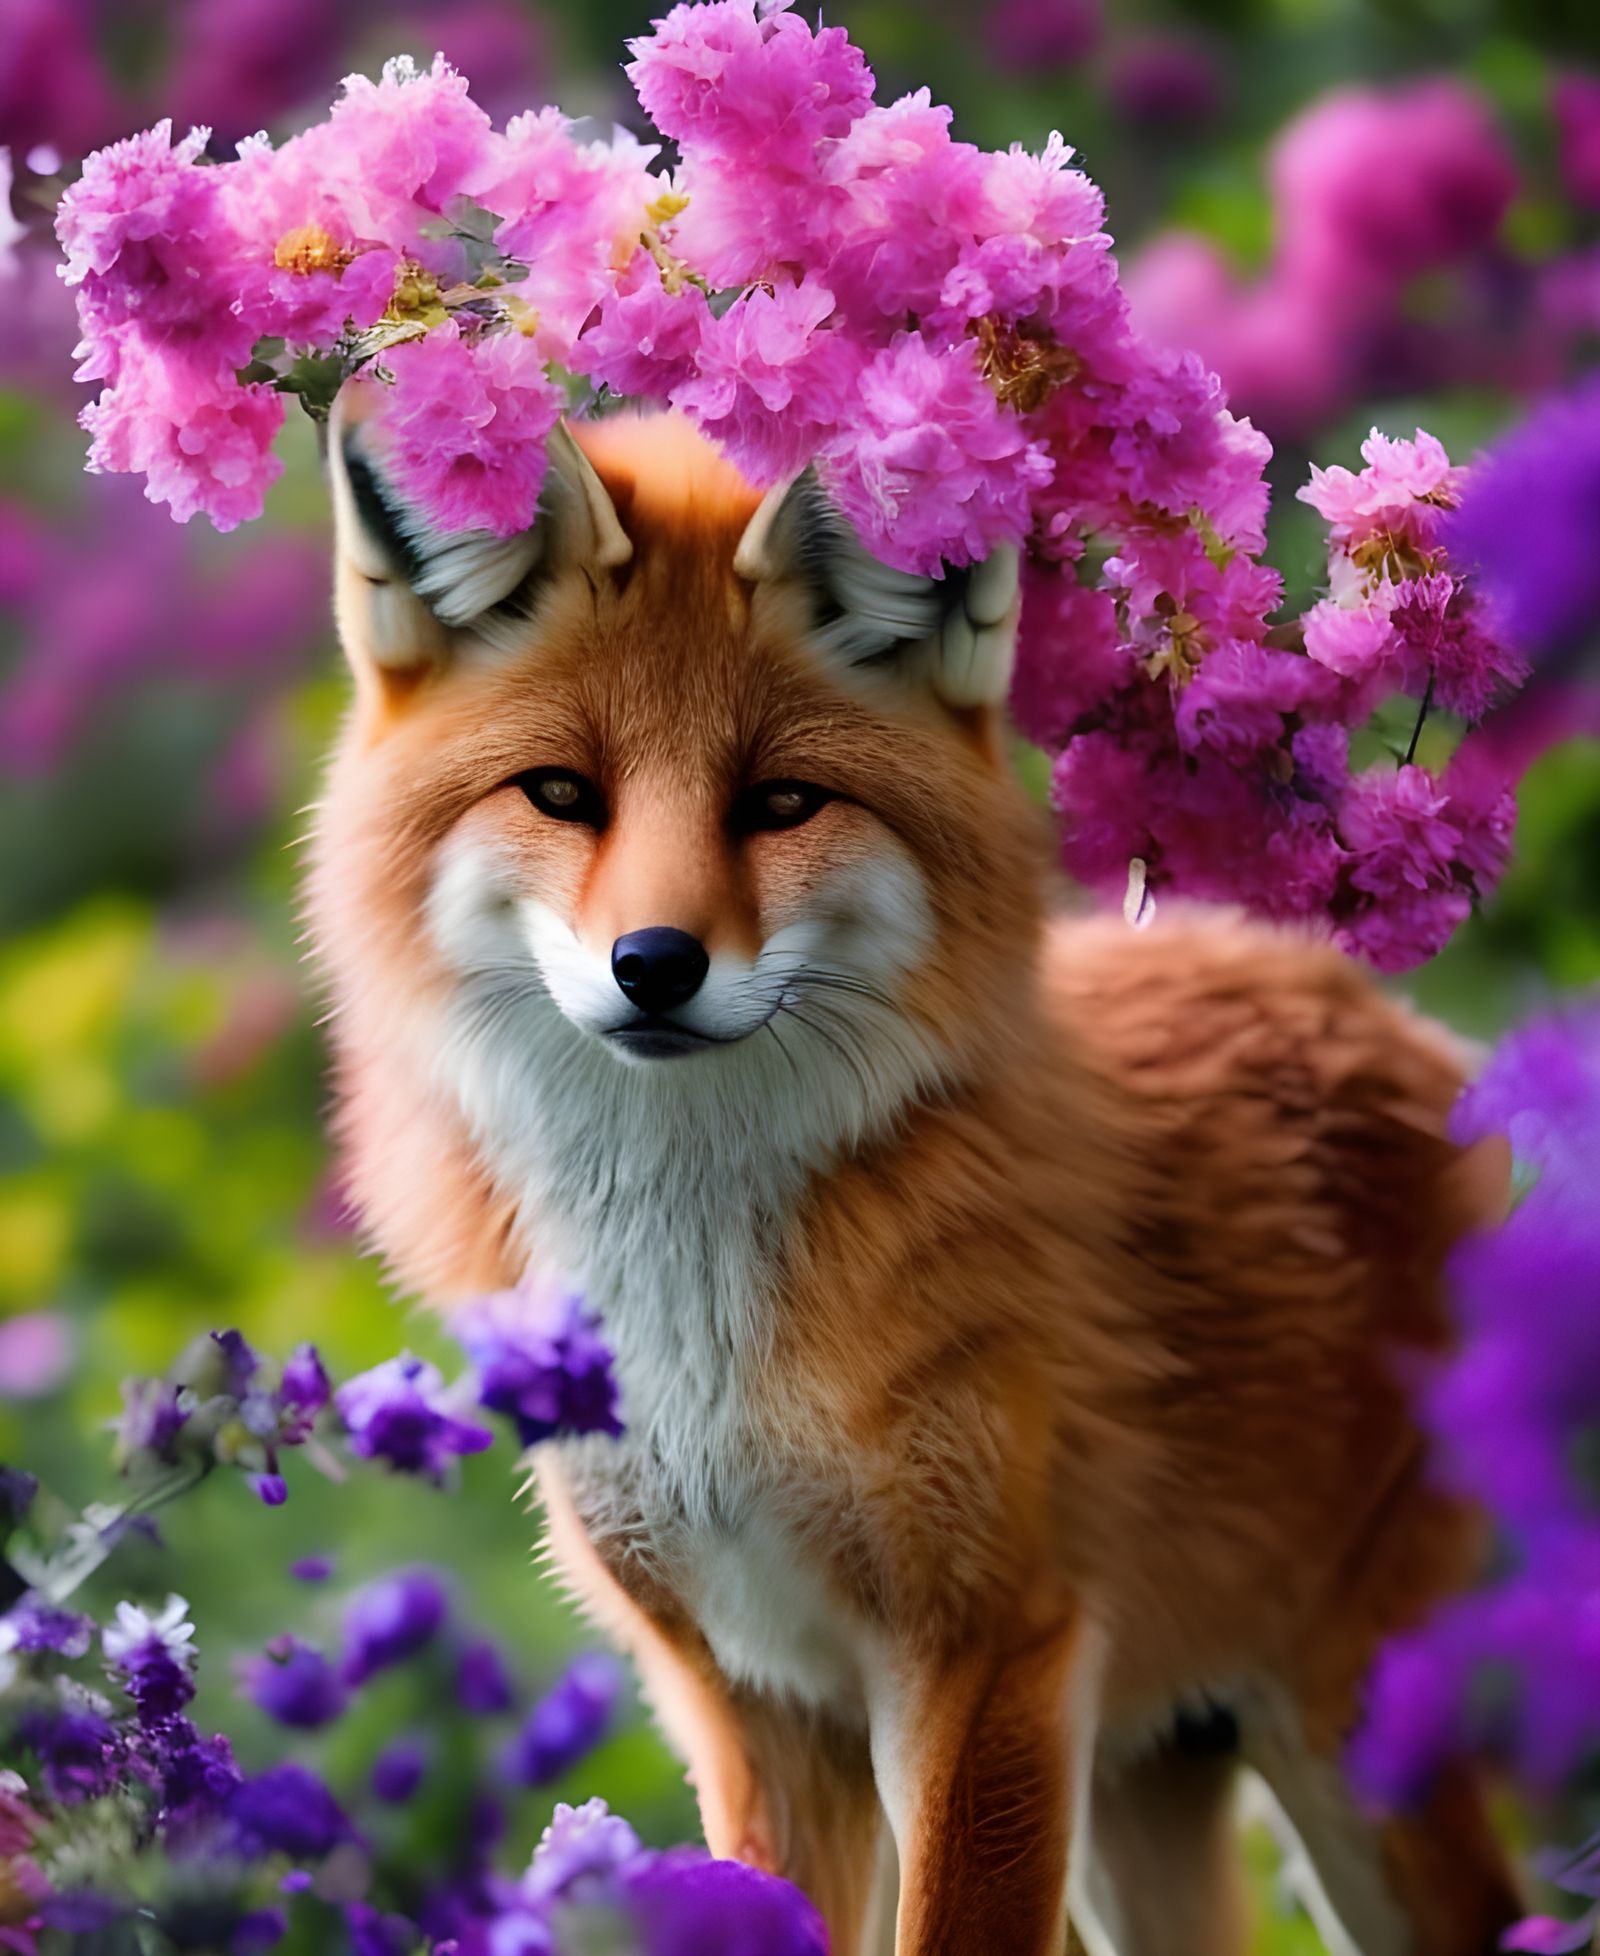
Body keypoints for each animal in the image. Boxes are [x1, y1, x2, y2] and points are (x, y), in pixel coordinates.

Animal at [307, 385, 1523, 1956]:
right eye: (562, 793)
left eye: (781, 804)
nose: (656, 965)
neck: (701, 1337)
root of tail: (1384, 1014)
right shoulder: (753, 1695)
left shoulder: (983, 1648)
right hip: (1141, 1796)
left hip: (1345, 1737)